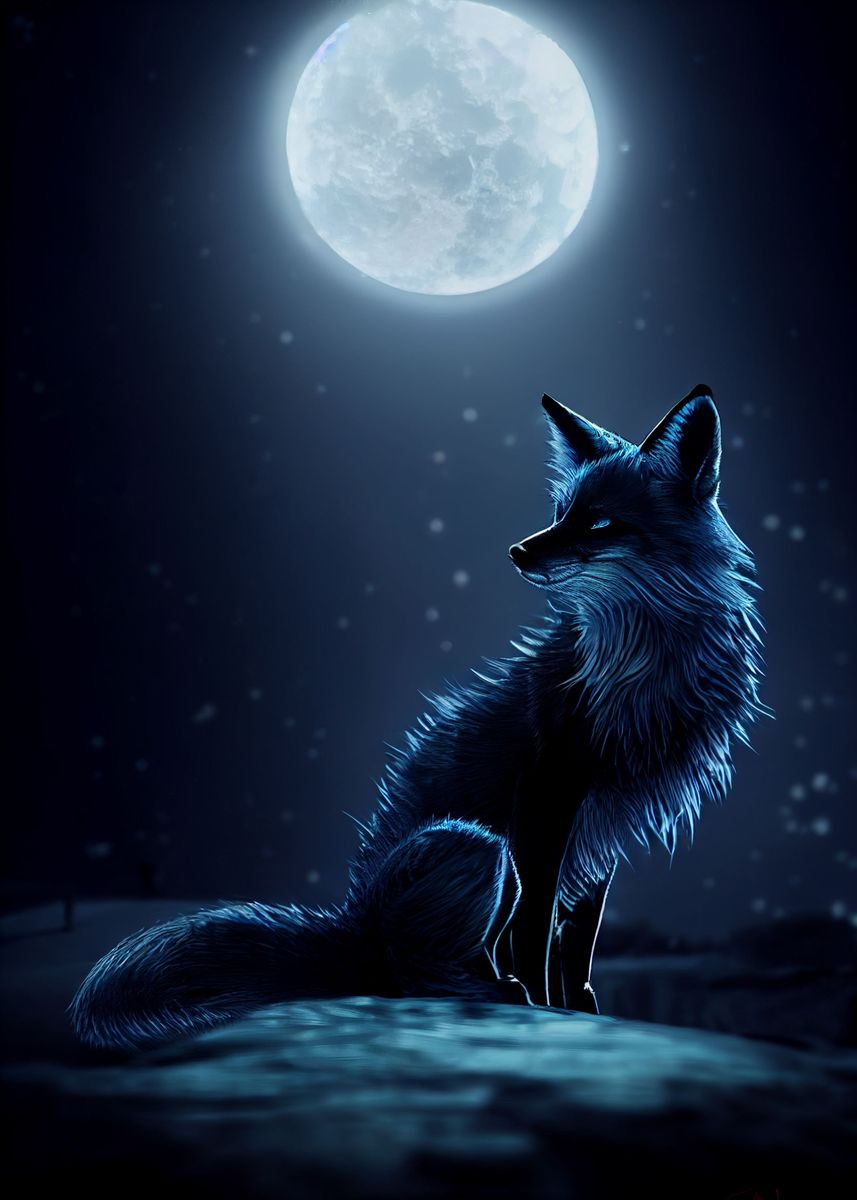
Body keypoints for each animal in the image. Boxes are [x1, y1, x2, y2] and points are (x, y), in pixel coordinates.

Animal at [71, 385, 767, 1049]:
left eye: (598, 523)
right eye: (560, 515)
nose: (517, 551)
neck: (643, 663)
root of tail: (351, 923)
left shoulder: (602, 827)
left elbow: (577, 944)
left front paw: (584, 1013)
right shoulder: (549, 792)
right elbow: (537, 934)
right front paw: (552, 1015)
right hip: (484, 847)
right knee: (409, 970)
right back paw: (498, 992)